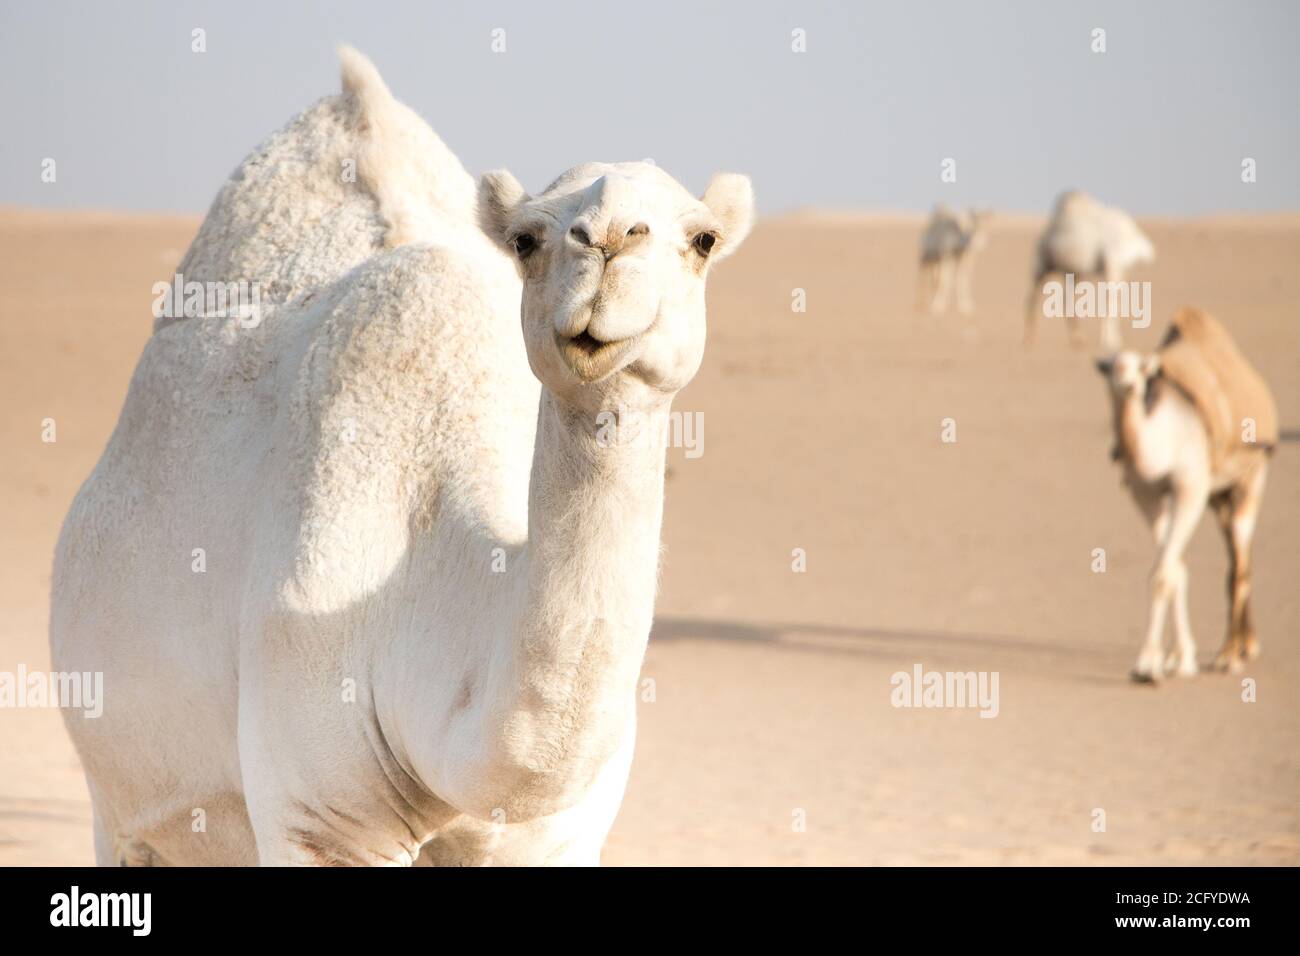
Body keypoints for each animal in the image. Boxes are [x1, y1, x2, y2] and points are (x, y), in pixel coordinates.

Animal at [49, 48, 754, 866]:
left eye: (703, 239)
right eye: (526, 239)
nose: (607, 239)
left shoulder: (552, 834)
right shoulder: (318, 820)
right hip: (116, 802)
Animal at [1025, 190, 1154, 350]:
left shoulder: (1119, 268)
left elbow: (1116, 302)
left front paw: (1114, 341)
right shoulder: (1111, 263)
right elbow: (1110, 302)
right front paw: (1108, 342)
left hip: (1072, 271)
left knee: (1066, 299)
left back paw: (1078, 340)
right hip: (1042, 262)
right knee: (1032, 297)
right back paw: (1029, 340)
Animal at [1094, 308, 1277, 683]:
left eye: (1141, 369)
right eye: (1111, 369)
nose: (1130, 387)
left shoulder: (1188, 487)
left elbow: (1165, 572)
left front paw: (1148, 667)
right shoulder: (1146, 494)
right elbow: (1174, 568)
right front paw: (1174, 659)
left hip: (1252, 477)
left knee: (1239, 563)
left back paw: (1229, 656)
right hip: (1218, 496)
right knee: (1238, 554)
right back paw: (1246, 645)